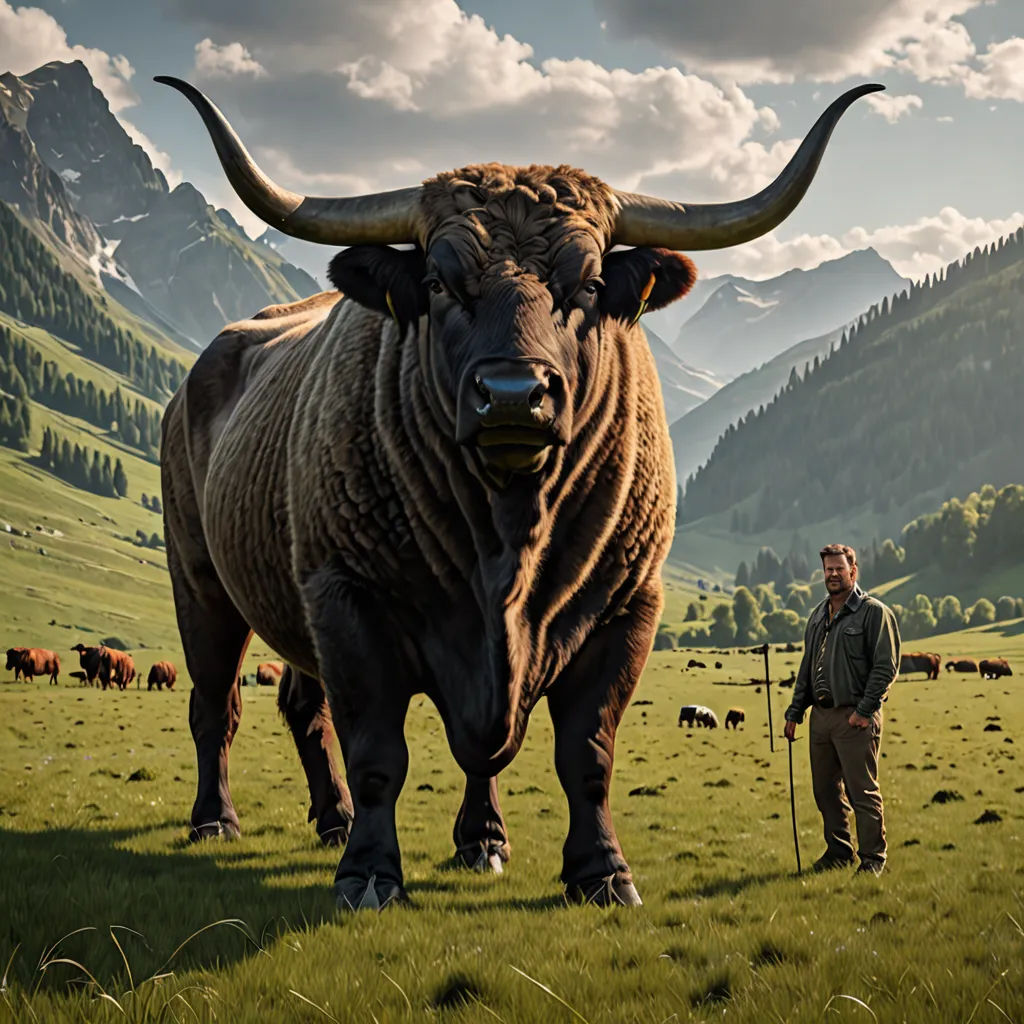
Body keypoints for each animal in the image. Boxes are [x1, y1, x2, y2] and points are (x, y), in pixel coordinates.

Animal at [157, 74, 880, 910]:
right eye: (440, 282)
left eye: (591, 282)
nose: (511, 395)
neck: (505, 536)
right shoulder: (348, 598)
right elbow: (377, 752)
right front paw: (369, 875)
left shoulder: (625, 611)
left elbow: (582, 752)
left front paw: (583, 868)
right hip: (202, 584)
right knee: (218, 706)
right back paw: (217, 820)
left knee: (303, 710)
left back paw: (337, 822)